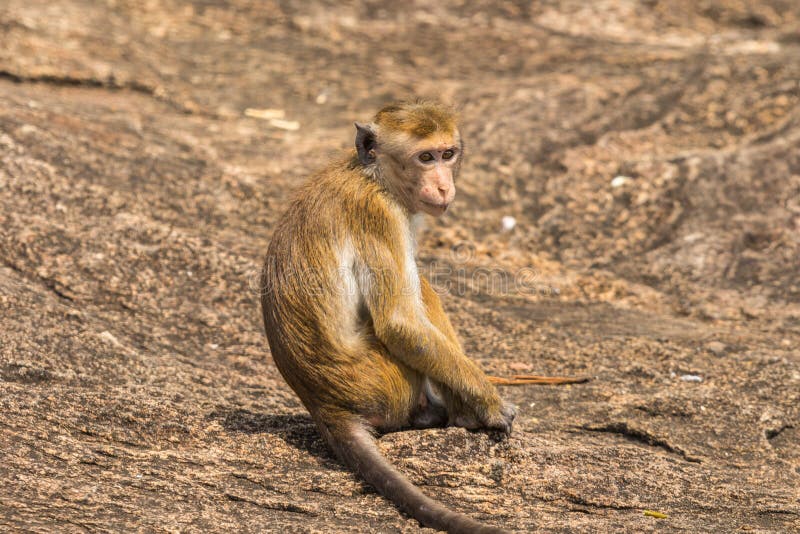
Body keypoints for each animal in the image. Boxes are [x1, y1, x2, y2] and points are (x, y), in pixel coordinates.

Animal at [260, 101, 517, 533]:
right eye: (425, 158)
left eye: (448, 154)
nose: (444, 186)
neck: (374, 178)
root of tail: (327, 408)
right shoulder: (378, 215)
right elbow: (400, 323)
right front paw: (490, 403)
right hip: (383, 382)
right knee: (420, 292)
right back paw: (456, 414)